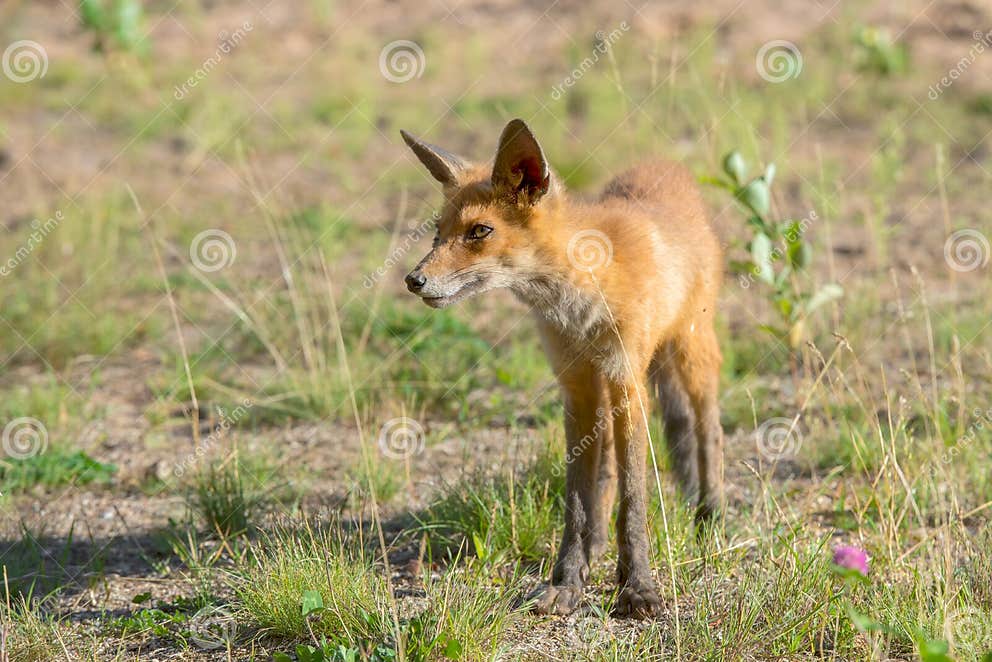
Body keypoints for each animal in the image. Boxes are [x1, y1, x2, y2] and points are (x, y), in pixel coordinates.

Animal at [400, 119, 724, 619]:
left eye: (479, 231)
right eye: (438, 233)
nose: (413, 280)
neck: (581, 298)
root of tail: (667, 167)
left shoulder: (627, 380)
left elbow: (634, 498)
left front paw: (639, 589)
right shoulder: (576, 386)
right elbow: (578, 499)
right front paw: (568, 581)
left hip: (691, 351)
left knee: (707, 427)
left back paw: (710, 513)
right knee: (606, 473)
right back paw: (599, 547)